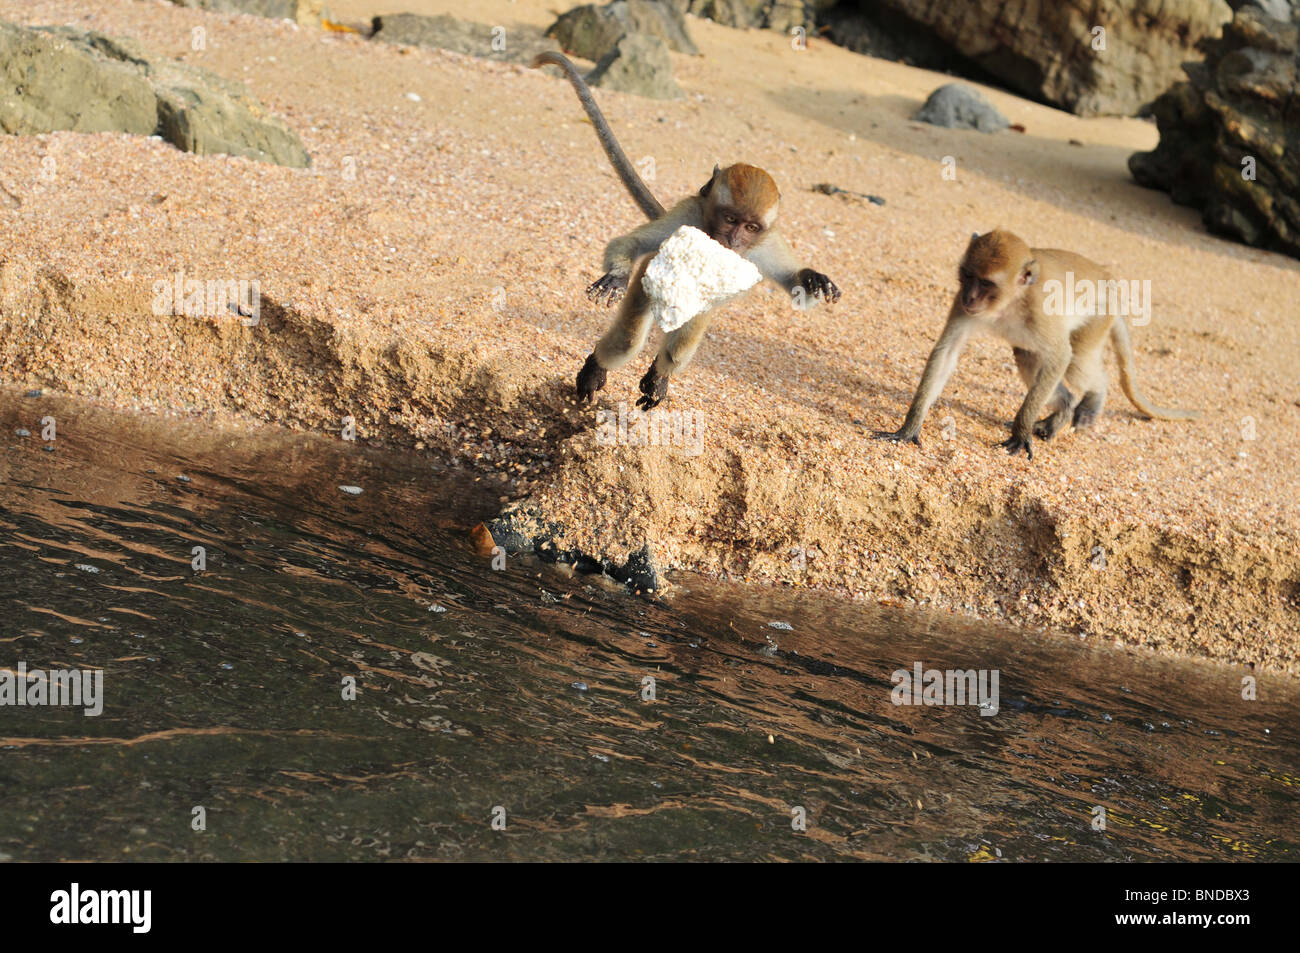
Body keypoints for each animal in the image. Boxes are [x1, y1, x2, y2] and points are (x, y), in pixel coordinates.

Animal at [531, 51, 840, 409]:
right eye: (730, 220)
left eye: (750, 226)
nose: (732, 241)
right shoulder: (686, 218)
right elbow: (630, 243)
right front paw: (617, 277)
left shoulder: (764, 243)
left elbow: (794, 285)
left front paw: (813, 278)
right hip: (647, 286)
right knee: (626, 340)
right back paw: (596, 368)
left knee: (682, 342)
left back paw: (659, 376)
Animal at [874, 229, 1198, 460]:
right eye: (967, 275)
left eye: (986, 283)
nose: (970, 297)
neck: (1008, 302)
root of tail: (1109, 284)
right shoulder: (960, 307)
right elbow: (946, 354)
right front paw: (910, 426)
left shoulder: (1040, 310)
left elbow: (1060, 356)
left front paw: (1021, 431)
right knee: (1026, 355)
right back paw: (1065, 405)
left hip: (1098, 317)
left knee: (1077, 360)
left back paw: (1092, 399)